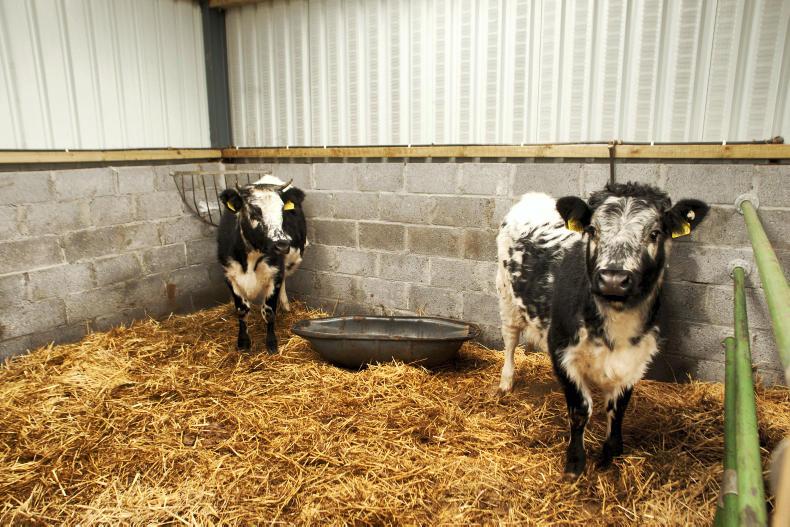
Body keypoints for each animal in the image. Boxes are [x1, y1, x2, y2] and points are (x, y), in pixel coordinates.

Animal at [218, 175, 307, 353]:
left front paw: (271, 344)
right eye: (255, 211)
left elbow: (269, 311)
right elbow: (242, 310)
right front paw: (243, 342)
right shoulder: (229, 276)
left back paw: (285, 306)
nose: (282, 244)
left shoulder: (275, 274)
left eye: (282, 210)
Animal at [495, 182, 709, 479]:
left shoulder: (636, 358)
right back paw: (506, 382)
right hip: (506, 298)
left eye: (655, 233)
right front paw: (575, 462)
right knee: (510, 341)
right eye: (593, 230)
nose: (613, 279)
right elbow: (580, 409)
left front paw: (611, 453)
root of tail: (534, 198)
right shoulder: (562, 349)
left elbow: (618, 409)